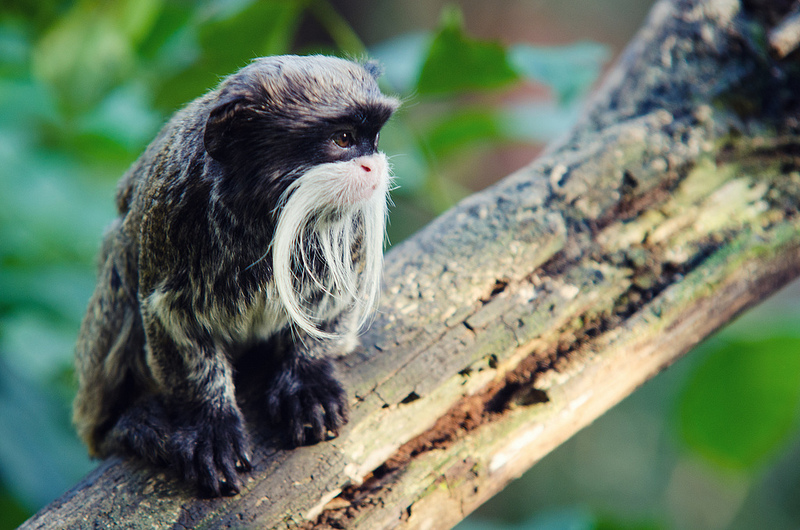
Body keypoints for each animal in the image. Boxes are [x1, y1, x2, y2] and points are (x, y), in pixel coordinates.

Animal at [72, 55, 400, 497]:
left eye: (374, 139)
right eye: (344, 139)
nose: (374, 167)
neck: (263, 214)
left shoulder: (352, 230)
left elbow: (331, 306)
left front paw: (307, 380)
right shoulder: (170, 212)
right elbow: (166, 318)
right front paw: (210, 420)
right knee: (120, 257)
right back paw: (125, 423)